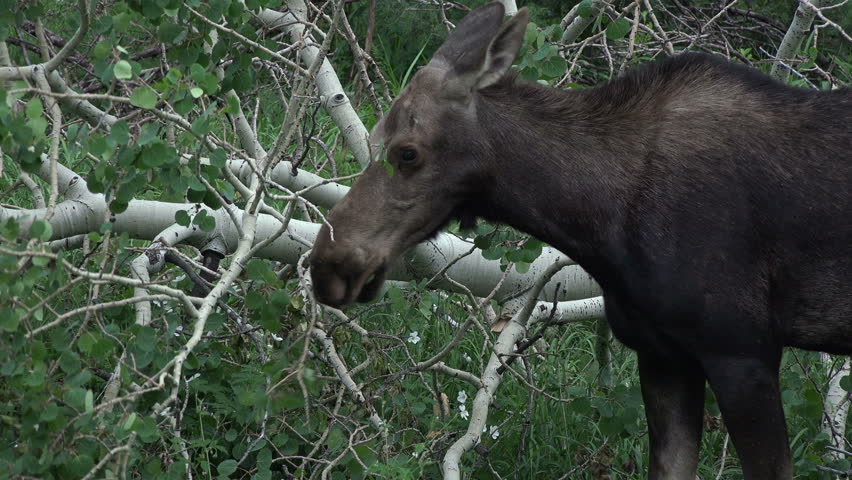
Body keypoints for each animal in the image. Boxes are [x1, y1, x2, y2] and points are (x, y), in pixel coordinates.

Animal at [309, 3, 852, 478]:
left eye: (407, 153)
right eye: (374, 138)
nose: (327, 264)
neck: (600, 225)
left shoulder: (743, 352)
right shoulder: (663, 357)